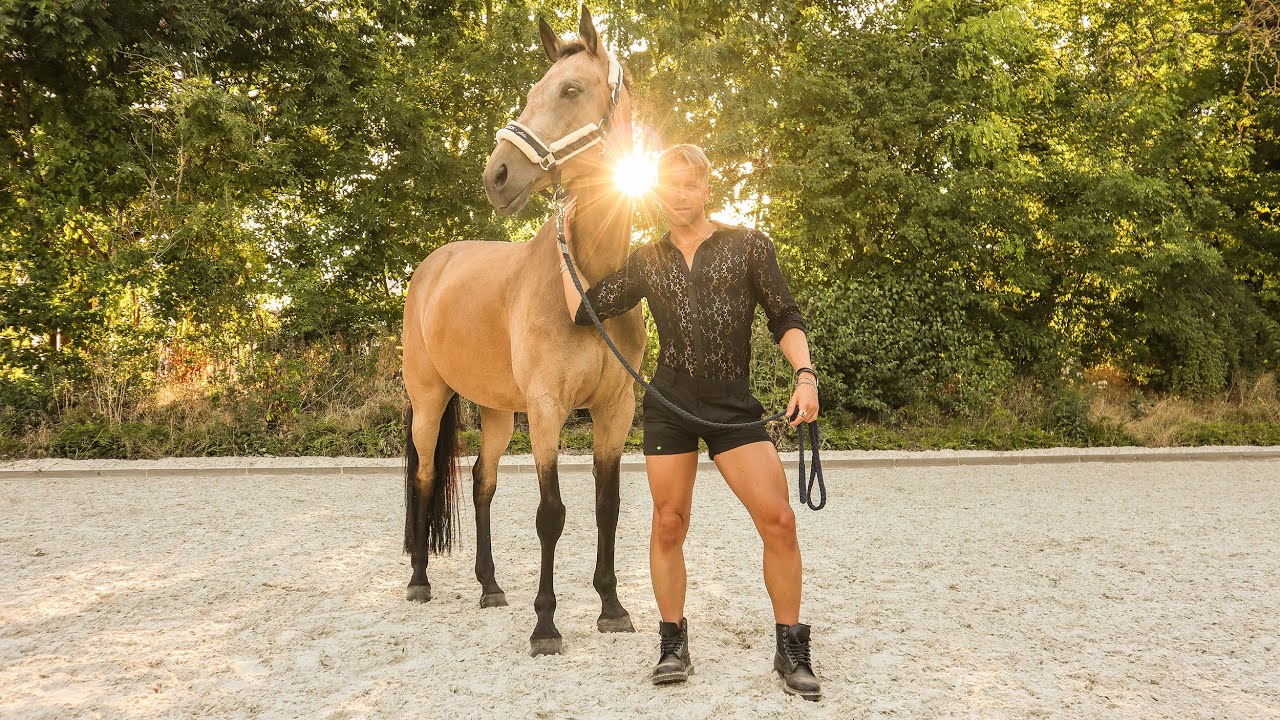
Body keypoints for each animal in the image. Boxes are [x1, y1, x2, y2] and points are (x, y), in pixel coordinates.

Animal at [400, 6, 643, 656]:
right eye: (534, 90)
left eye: (571, 90)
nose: (498, 175)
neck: (588, 282)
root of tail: (432, 267)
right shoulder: (546, 409)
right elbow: (550, 514)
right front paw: (546, 625)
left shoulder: (615, 409)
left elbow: (607, 505)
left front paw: (611, 607)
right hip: (430, 400)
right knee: (426, 476)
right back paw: (419, 579)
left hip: (495, 412)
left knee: (480, 484)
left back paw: (489, 585)